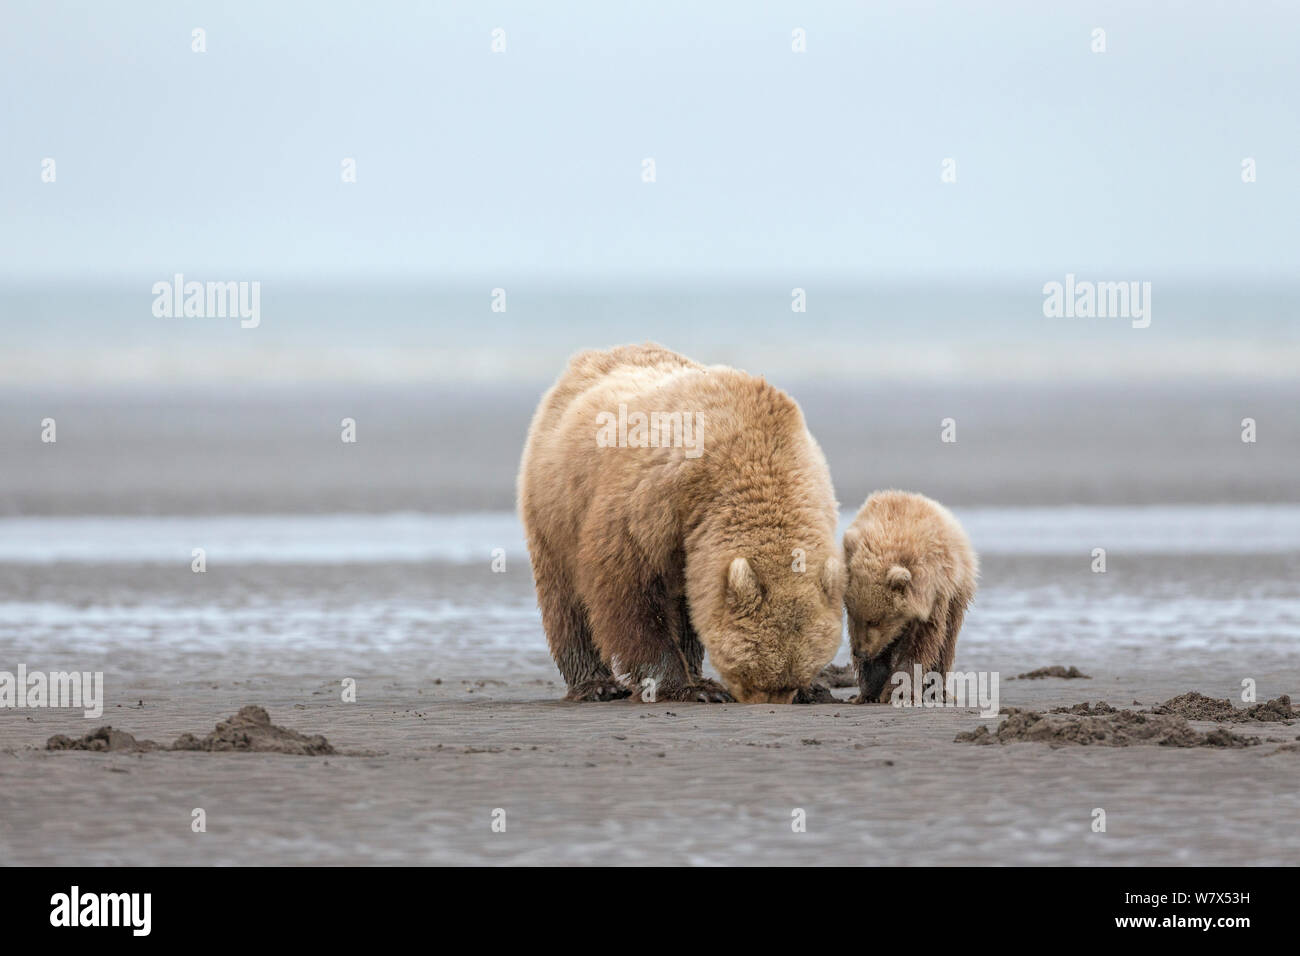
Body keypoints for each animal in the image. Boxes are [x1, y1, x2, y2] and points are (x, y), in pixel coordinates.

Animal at [517, 344, 845, 704]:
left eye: (790, 680)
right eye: (751, 676)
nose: (766, 703)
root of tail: (587, 359)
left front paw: (815, 690)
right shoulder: (653, 500)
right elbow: (629, 592)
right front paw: (683, 687)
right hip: (557, 504)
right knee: (565, 600)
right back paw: (595, 684)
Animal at [839, 490, 977, 704]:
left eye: (875, 621)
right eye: (852, 614)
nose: (860, 652)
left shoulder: (933, 595)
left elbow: (920, 643)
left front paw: (901, 693)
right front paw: (870, 691)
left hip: (957, 593)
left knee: (946, 641)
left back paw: (939, 691)